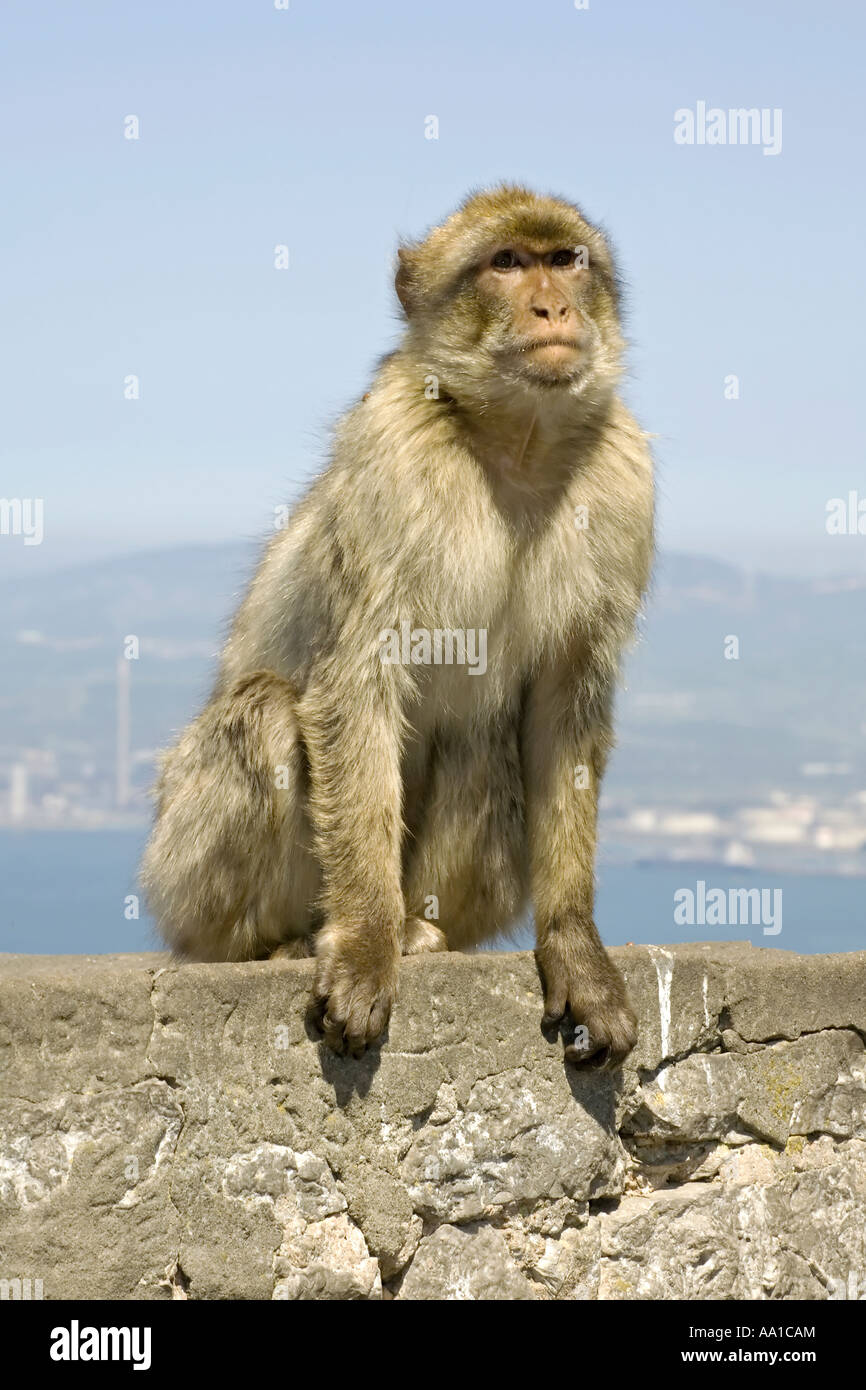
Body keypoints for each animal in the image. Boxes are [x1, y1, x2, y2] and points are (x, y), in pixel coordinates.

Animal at [140, 184, 654, 1066]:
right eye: (506, 263)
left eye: (565, 260)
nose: (553, 306)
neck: (516, 437)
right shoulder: (392, 457)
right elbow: (356, 683)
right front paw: (364, 943)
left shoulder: (625, 480)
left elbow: (565, 710)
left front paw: (574, 943)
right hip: (180, 877)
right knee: (267, 712)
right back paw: (283, 941)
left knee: (484, 740)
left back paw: (422, 928)